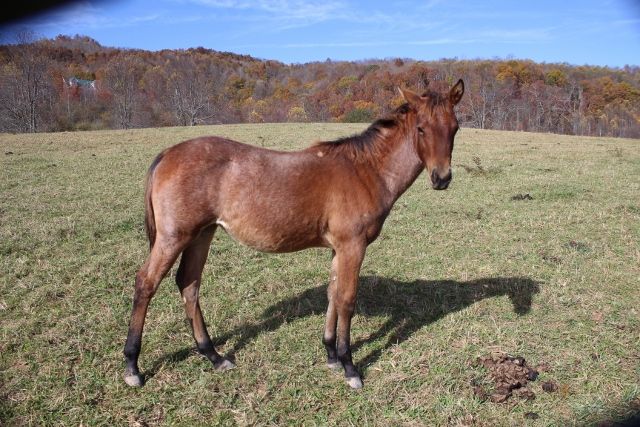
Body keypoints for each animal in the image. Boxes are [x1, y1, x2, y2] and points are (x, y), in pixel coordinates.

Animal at [123, 79, 464, 389]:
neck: (365, 171)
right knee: (146, 283)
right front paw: (350, 366)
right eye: (421, 128)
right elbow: (347, 299)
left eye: (455, 128)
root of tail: (167, 154)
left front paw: (331, 355)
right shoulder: (353, 246)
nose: (441, 178)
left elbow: (333, 293)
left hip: (201, 234)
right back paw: (132, 366)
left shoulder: (338, 248)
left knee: (189, 284)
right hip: (174, 237)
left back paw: (215, 356)